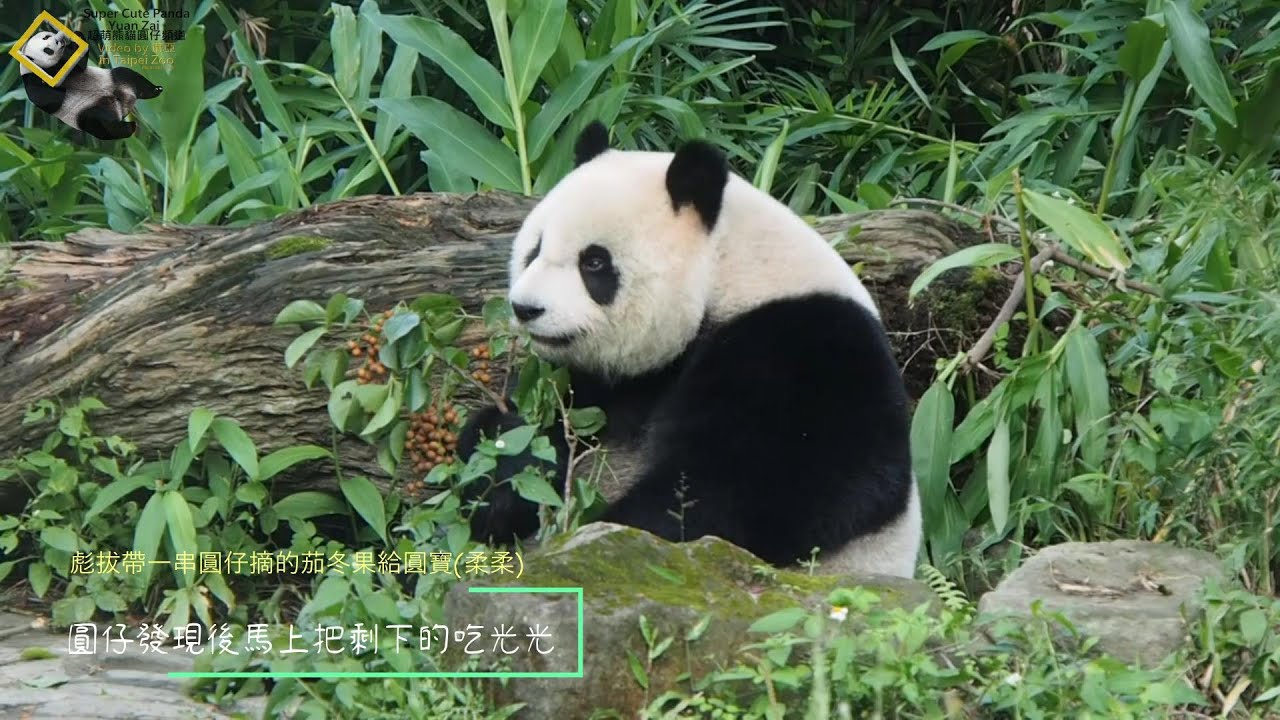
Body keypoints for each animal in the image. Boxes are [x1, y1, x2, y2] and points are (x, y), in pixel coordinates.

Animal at [19, 30, 163, 141]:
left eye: (46, 37)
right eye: (47, 50)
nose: (58, 41)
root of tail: (122, 104)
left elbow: (80, 65)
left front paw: (76, 38)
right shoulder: (33, 79)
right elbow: (48, 99)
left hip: (113, 80)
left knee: (126, 75)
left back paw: (155, 90)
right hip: (87, 111)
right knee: (102, 125)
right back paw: (129, 127)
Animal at [456, 121, 921, 578]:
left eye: (594, 263)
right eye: (534, 250)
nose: (526, 308)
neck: (728, 271)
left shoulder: (805, 351)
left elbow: (764, 490)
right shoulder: (615, 380)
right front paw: (505, 468)